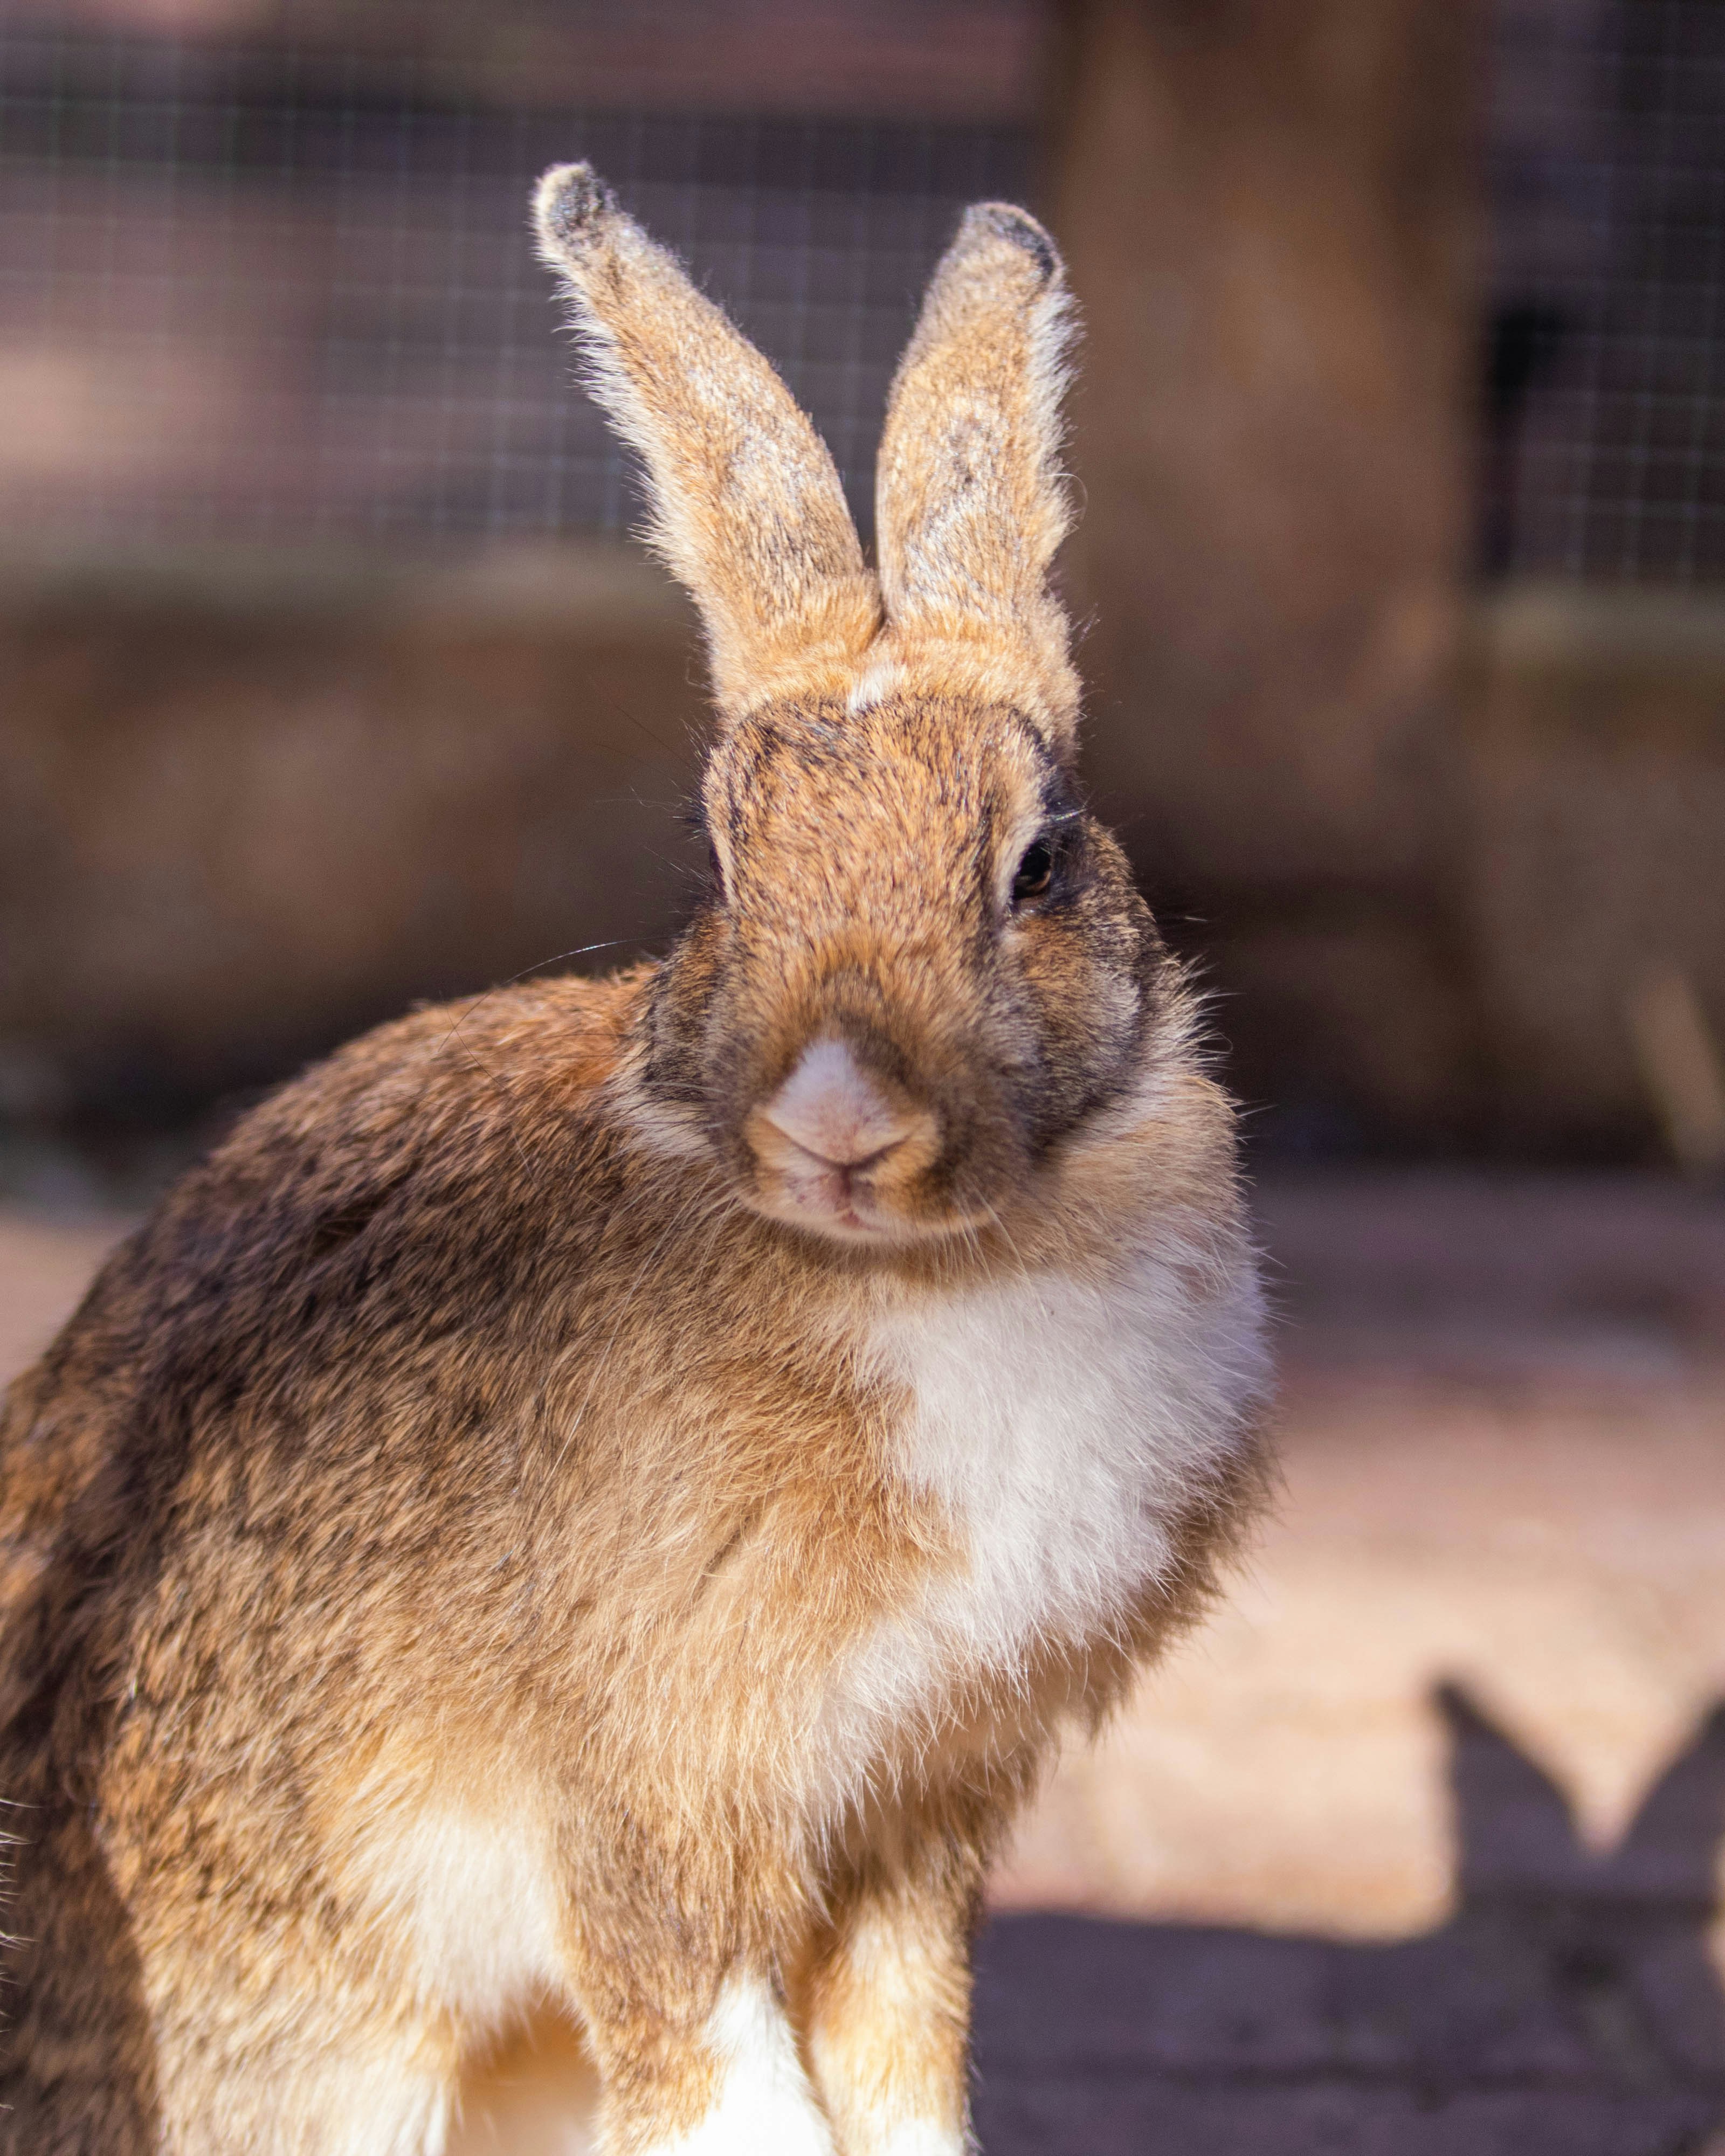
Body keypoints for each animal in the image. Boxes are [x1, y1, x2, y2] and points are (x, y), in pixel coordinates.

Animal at [0, 164, 1271, 2156]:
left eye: (1041, 861)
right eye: (722, 859)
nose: (837, 1120)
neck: (924, 1271)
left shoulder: (915, 1827)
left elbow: (904, 2069)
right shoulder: (649, 1809)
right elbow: (719, 2077)